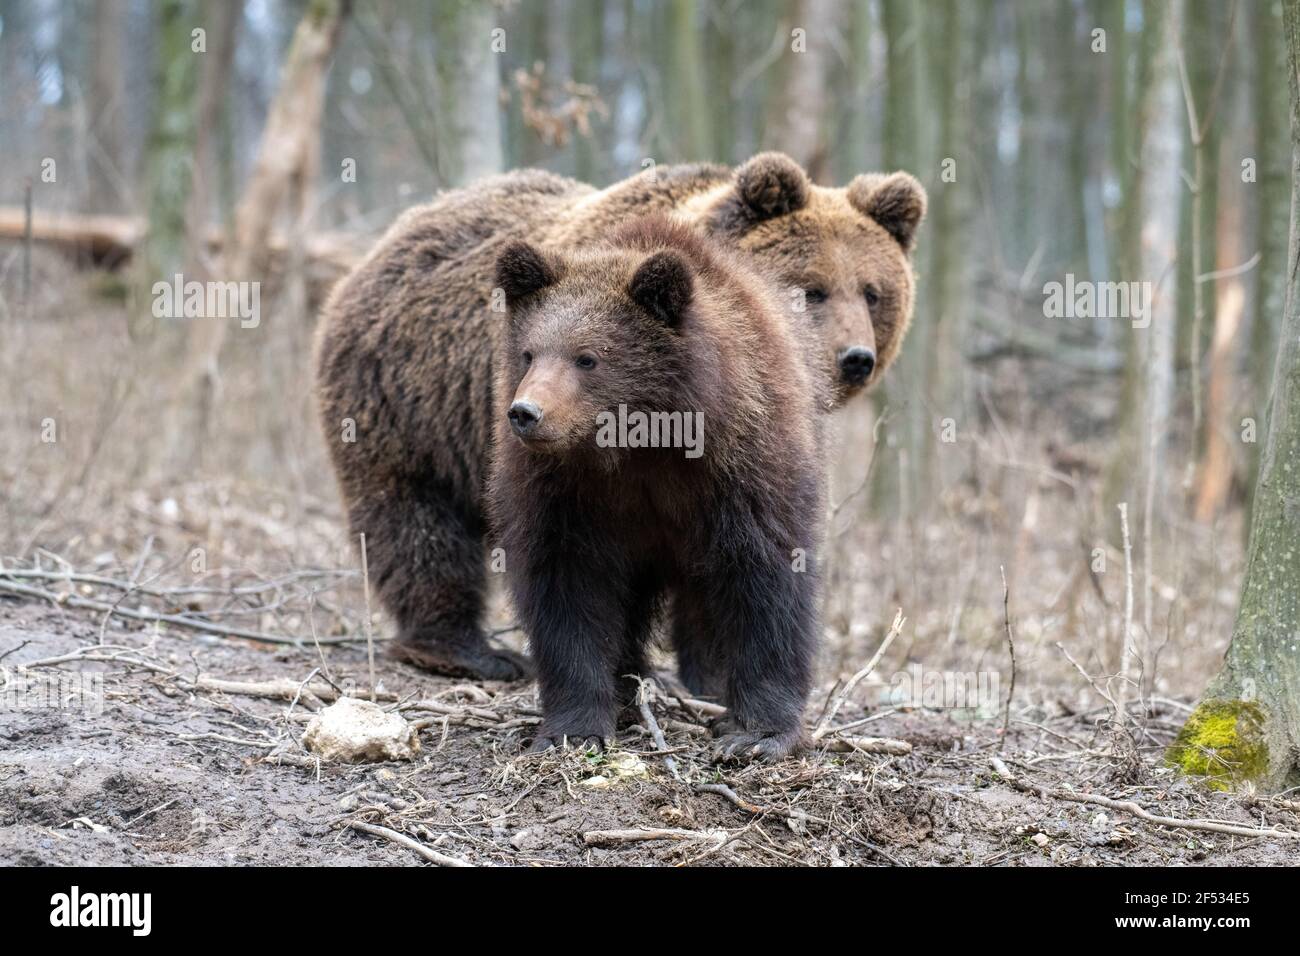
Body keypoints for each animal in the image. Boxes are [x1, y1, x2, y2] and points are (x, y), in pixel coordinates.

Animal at [314, 153, 924, 680]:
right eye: (814, 289)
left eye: (872, 292)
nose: (856, 359)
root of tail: (383, 245)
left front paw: (706, 672)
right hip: (409, 401)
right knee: (417, 523)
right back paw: (464, 650)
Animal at [488, 215, 825, 760]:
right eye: (529, 353)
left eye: (587, 357)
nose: (526, 413)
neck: (639, 445)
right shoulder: (565, 493)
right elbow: (567, 589)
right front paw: (574, 726)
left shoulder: (740, 473)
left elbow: (764, 580)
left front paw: (757, 733)